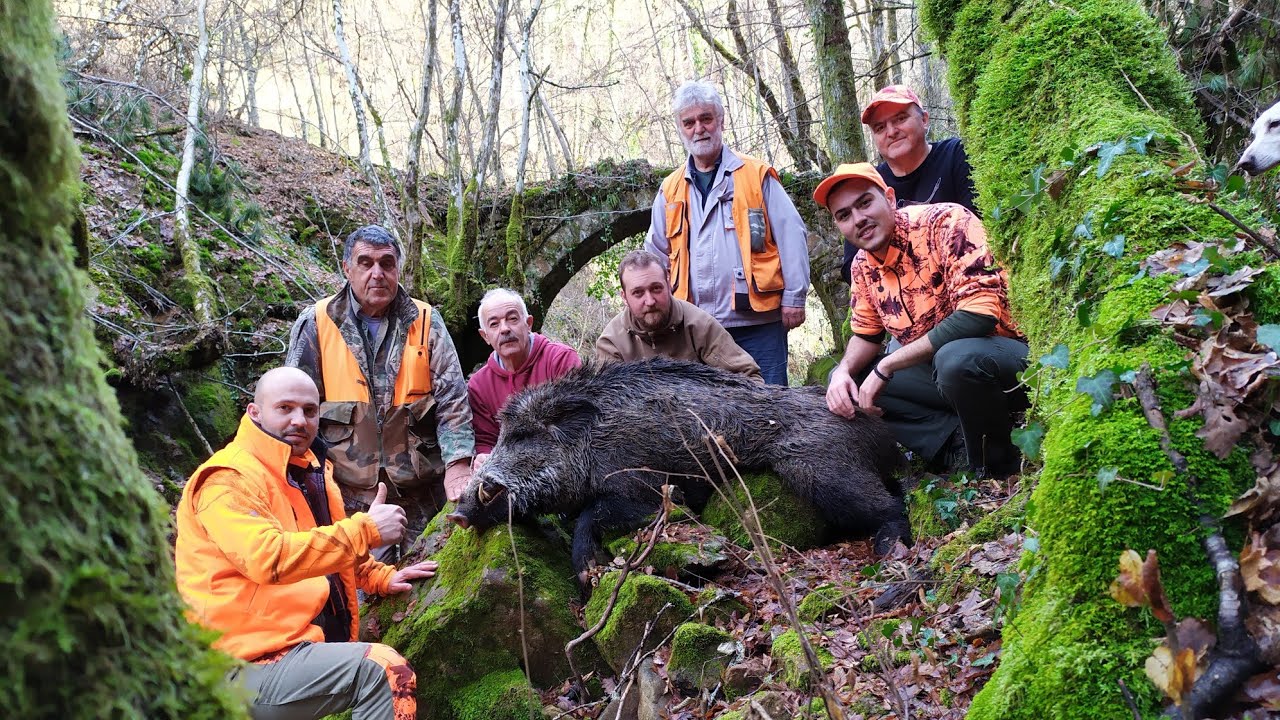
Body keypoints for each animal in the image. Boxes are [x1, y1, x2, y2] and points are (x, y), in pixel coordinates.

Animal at [448, 358, 910, 575]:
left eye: (523, 436)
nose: (458, 513)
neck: (589, 445)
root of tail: (880, 428)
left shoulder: (646, 489)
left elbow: (590, 517)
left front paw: (586, 572)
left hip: (819, 468)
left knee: (890, 506)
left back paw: (888, 551)